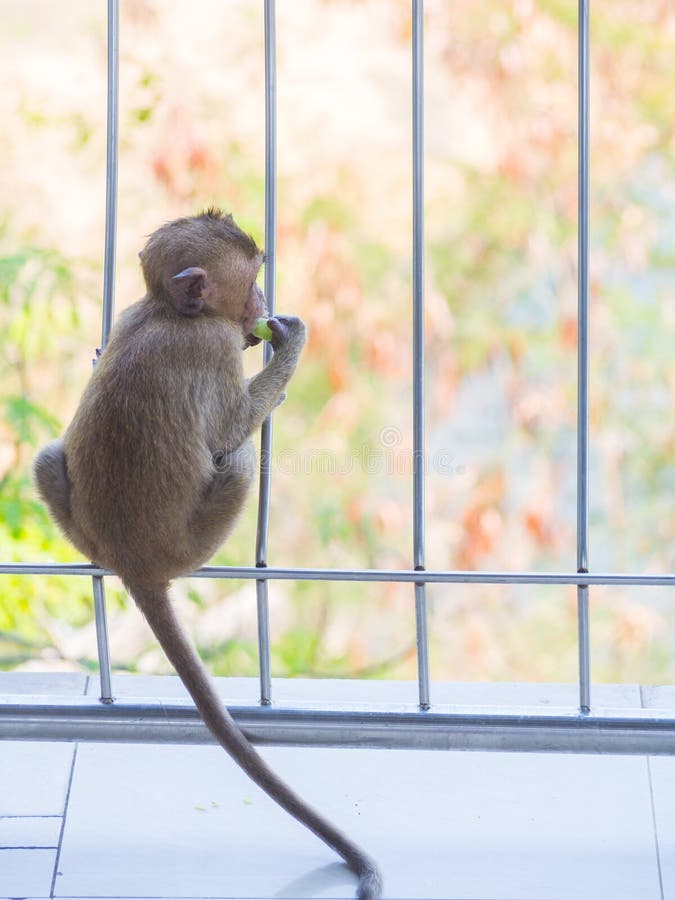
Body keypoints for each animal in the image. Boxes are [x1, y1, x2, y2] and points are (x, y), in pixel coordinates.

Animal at [33, 209, 382, 900]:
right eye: (251, 283)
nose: (264, 303)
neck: (168, 311)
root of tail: (135, 564)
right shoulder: (214, 346)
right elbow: (231, 427)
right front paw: (290, 343)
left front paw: (96, 356)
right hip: (196, 536)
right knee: (240, 459)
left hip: (81, 525)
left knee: (48, 459)